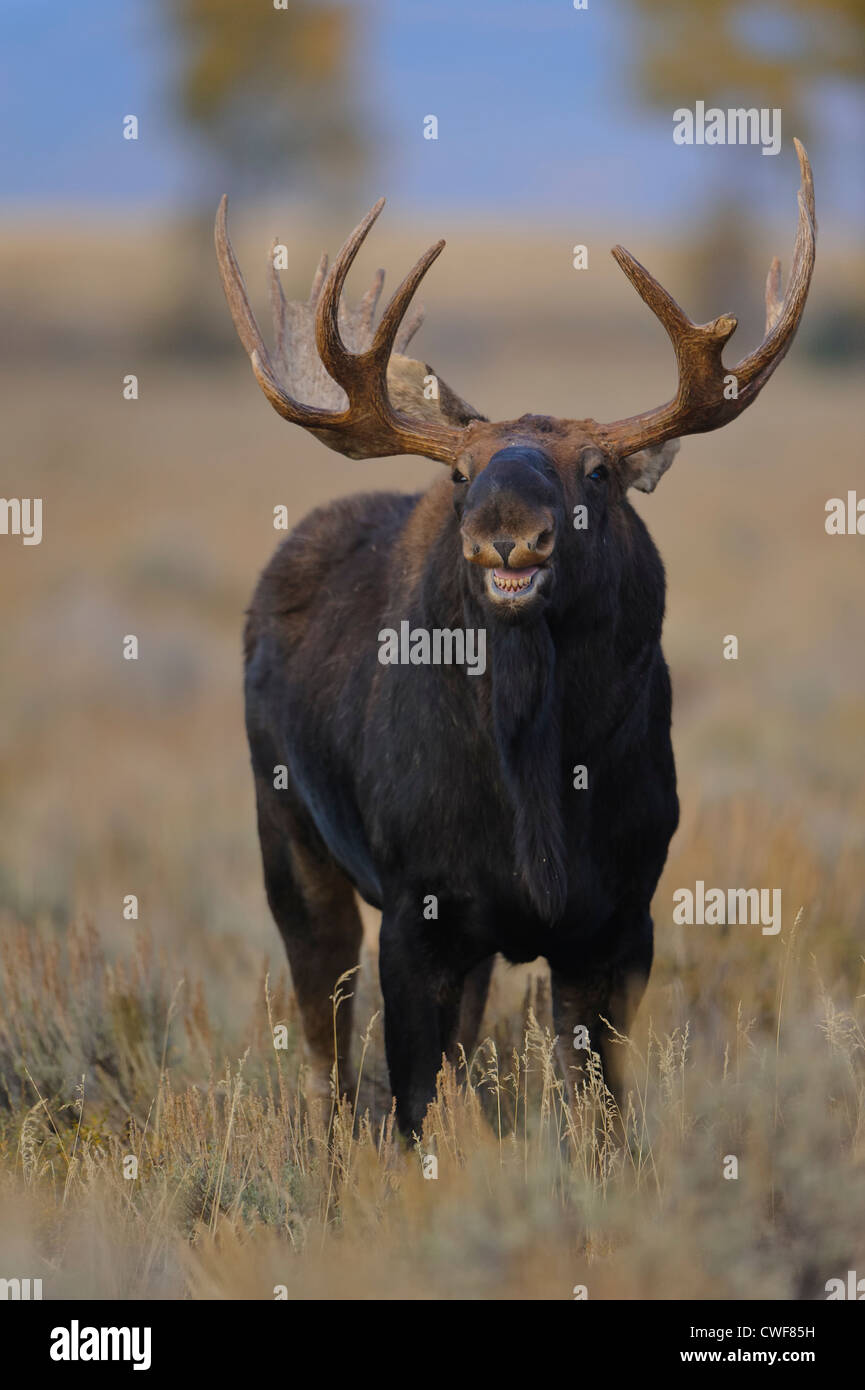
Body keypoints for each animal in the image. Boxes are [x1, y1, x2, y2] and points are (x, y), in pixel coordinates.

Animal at [215, 141, 815, 1138]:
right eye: (460, 471)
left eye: (599, 470)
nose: (506, 533)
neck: (537, 782)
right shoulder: (416, 911)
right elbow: (415, 1106)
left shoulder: (620, 919)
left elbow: (599, 1113)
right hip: (287, 838)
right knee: (326, 1045)